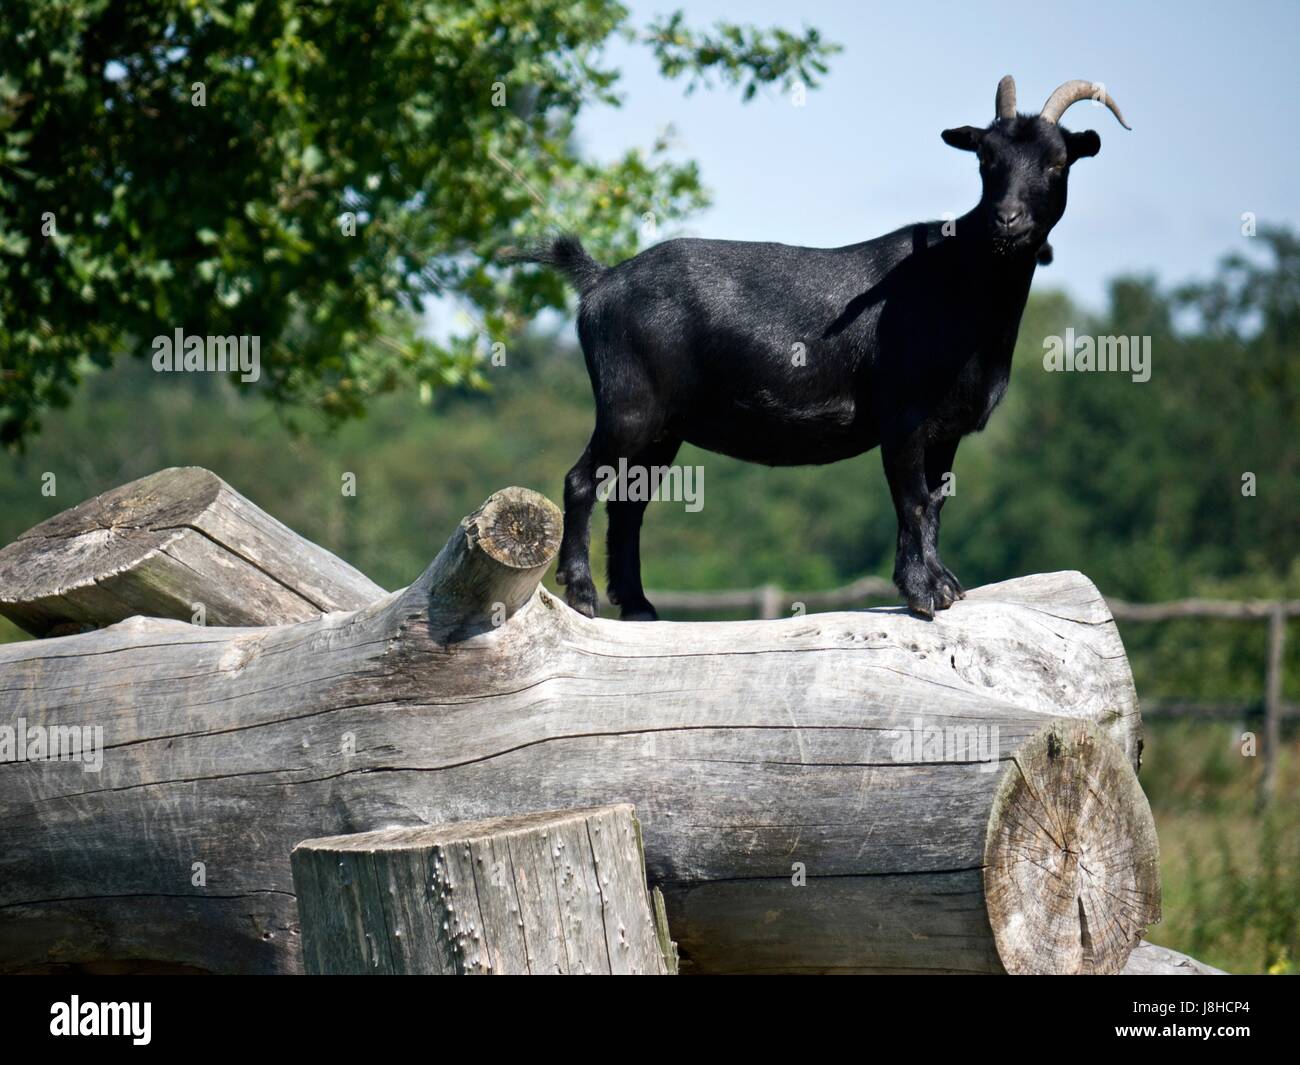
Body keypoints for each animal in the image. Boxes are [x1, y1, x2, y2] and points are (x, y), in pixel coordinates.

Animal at [511, 76, 1130, 620]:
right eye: (986, 161)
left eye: (1056, 163)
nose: (1008, 220)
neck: (960, 279)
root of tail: (599, 281)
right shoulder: (903, 416)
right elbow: (911, 500)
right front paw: (924, 592)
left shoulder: (946, 429)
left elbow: (933, 505)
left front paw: (937, 585)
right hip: (629, 405)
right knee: (581, 482)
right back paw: (583, 595)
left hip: (664, 427)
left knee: (629, 503)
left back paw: (639, 605)